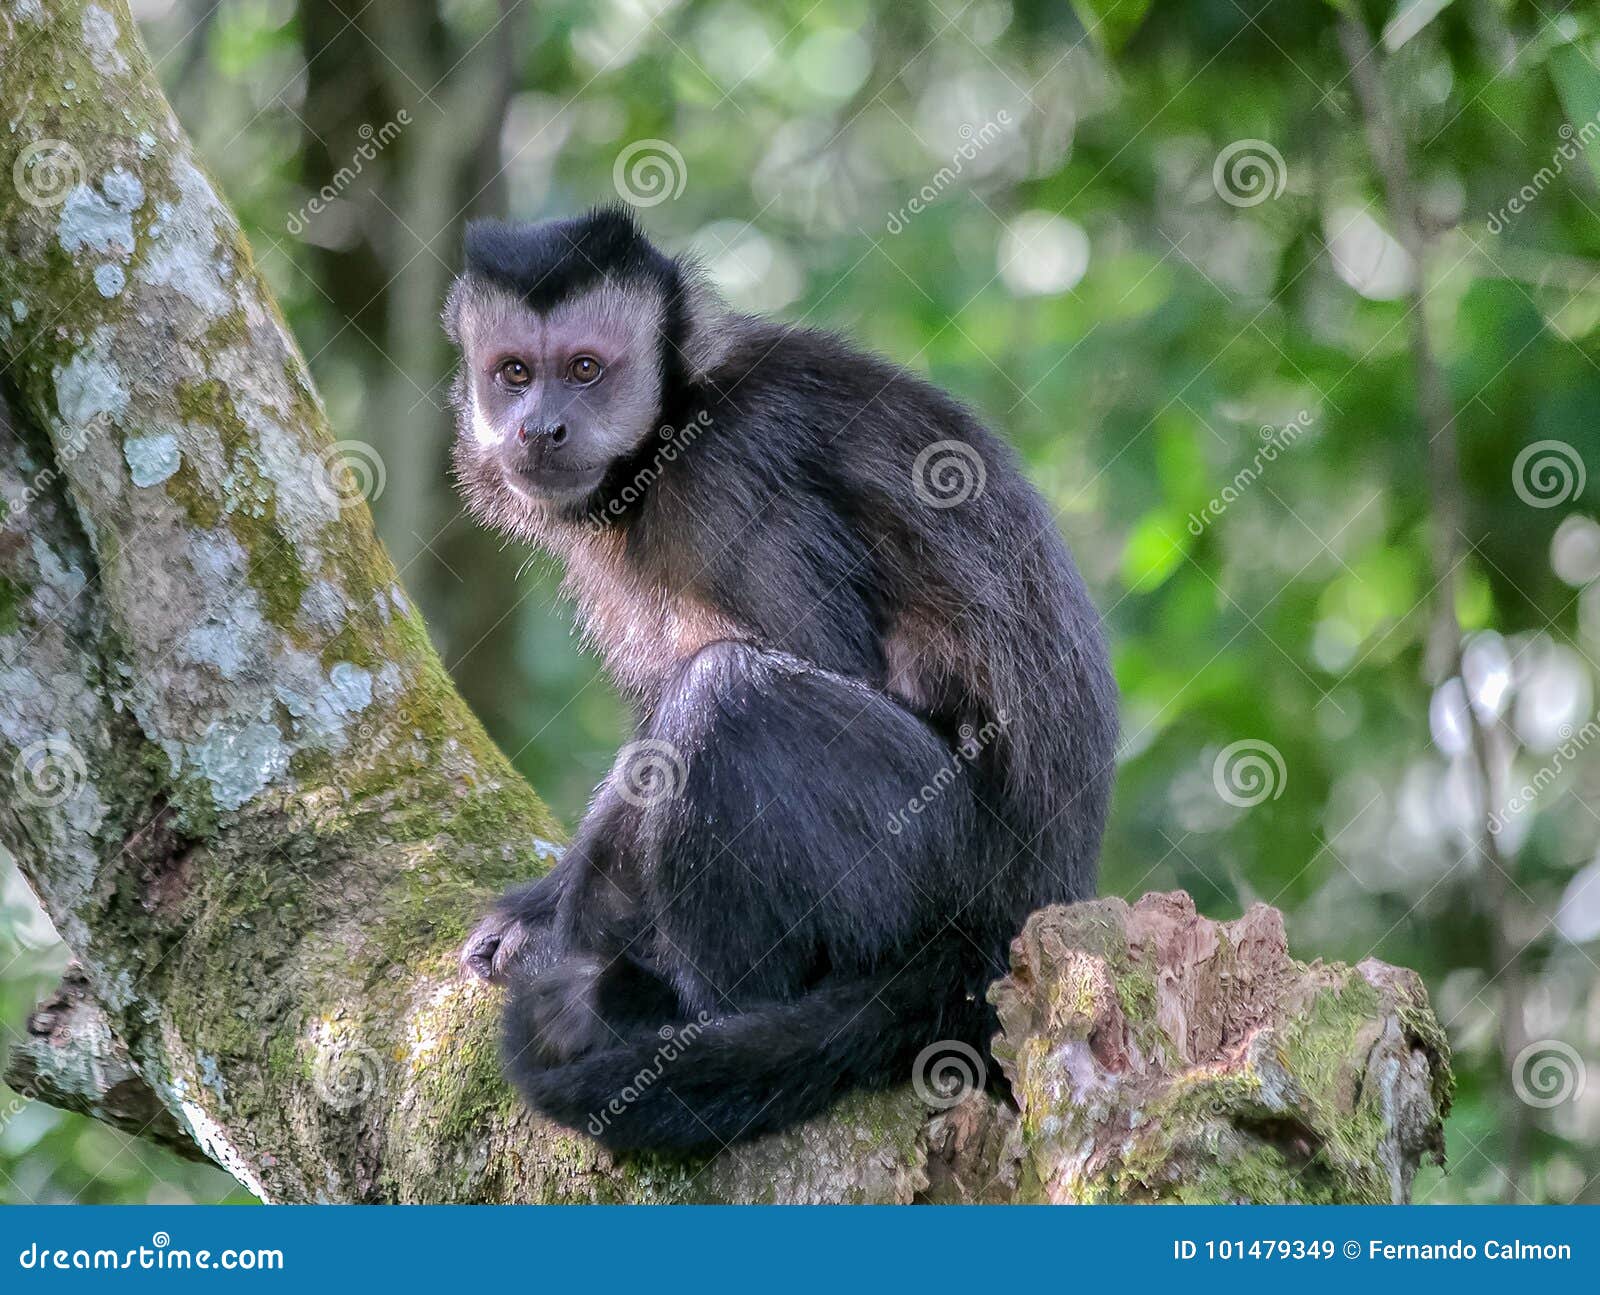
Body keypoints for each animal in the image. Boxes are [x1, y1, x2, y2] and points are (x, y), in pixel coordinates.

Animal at [445, 206, 1117, 1155]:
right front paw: (541, 911)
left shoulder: (731, 479)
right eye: (513, 374)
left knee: (726, 696)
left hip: (935, 861)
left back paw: (686, 1009)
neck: (673, 426)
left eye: (583, 369)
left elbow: (809, 665)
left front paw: (576, 934)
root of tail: (1025, 910)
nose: (539, 427)